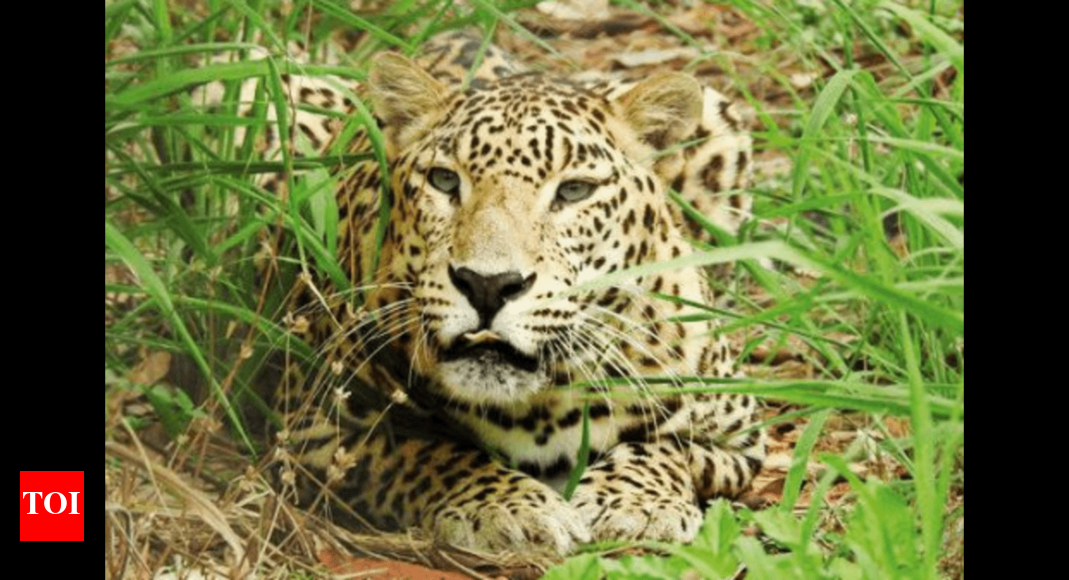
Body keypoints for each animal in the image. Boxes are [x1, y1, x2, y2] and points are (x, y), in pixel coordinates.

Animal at [265, 32, 766, 556]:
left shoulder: (739, 439)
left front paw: (633, 504)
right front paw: (506, 507)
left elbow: (663, 447)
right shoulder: (312, 424)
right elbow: (427, 451)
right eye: (444, 180)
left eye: (574, 191)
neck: (538, 409)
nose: (487, 285)